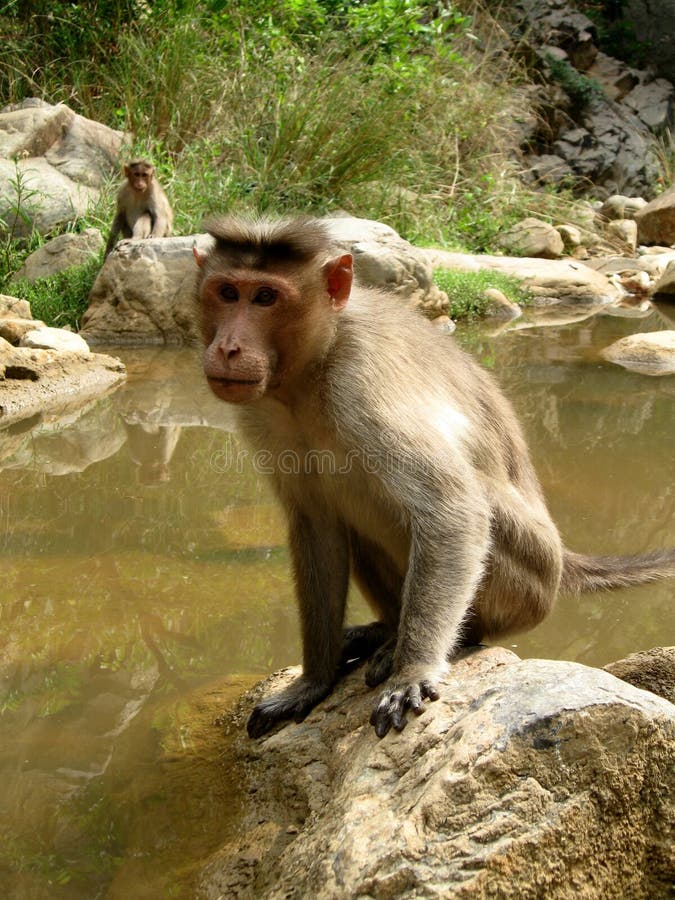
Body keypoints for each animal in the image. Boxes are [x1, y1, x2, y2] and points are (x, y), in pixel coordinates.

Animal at [193, 215, 675, 740]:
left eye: (265, 297)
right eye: (227, 292)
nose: (228, 346)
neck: (311, 368)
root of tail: (561, 562)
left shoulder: (362, 383)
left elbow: (452, 511)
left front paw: (413, 670)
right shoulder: (260, 410)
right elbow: (316, 525)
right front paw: (313, 681)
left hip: (529, 585)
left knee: (469, 499)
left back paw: (445, 641)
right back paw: (384, 630)